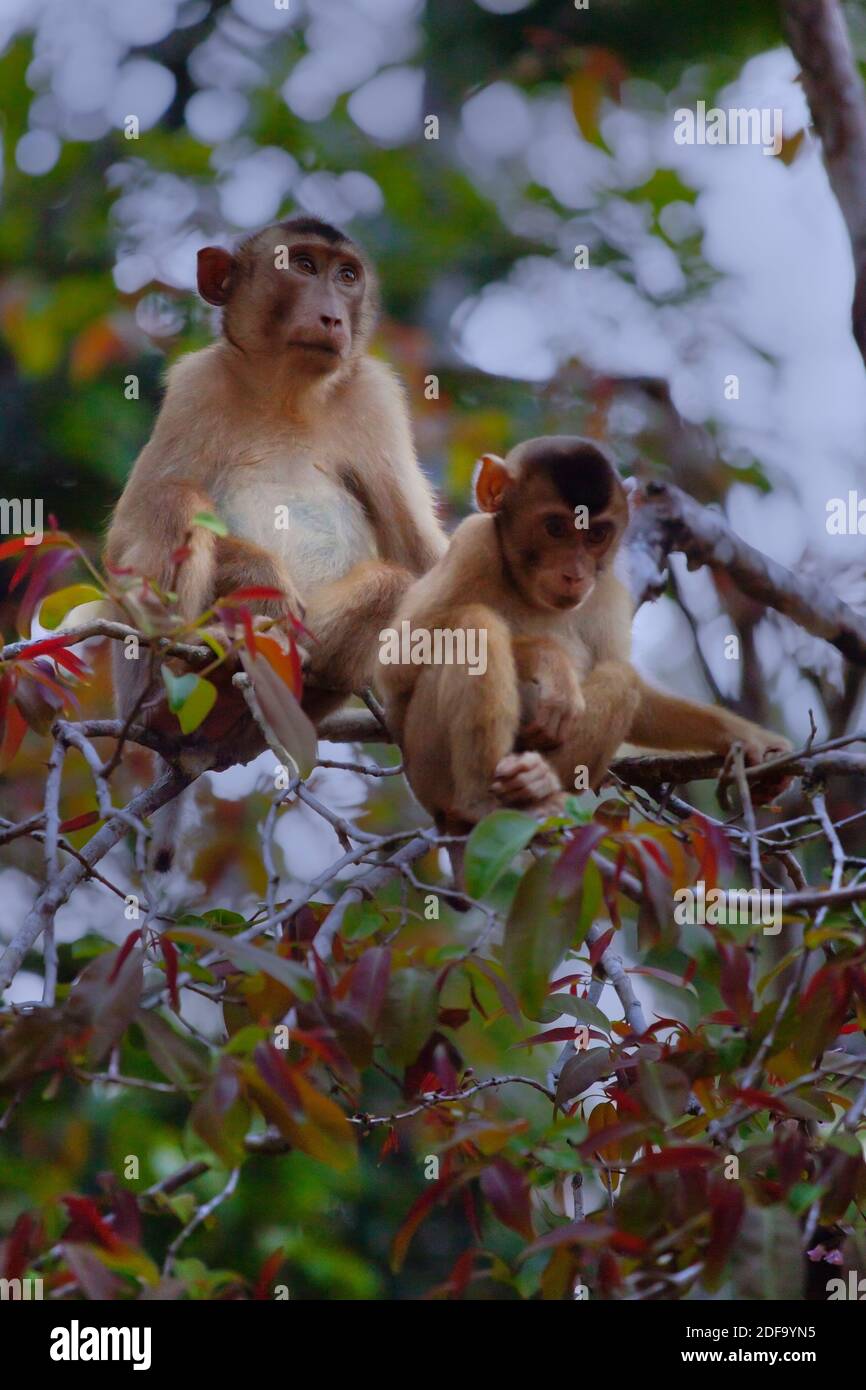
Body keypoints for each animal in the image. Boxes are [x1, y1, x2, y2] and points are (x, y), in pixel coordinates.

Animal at [379, 435, 791, 843]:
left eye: (596, 534)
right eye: (555, 528)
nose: (575, 574)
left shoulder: (607, 588)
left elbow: (636, 695)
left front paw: (749, 739)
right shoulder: (474, 543)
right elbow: (398, 663)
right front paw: (550, 661)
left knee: (620, 680)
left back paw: (536, 783)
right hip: (429, 766)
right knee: (475, 625)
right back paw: (480, 802)